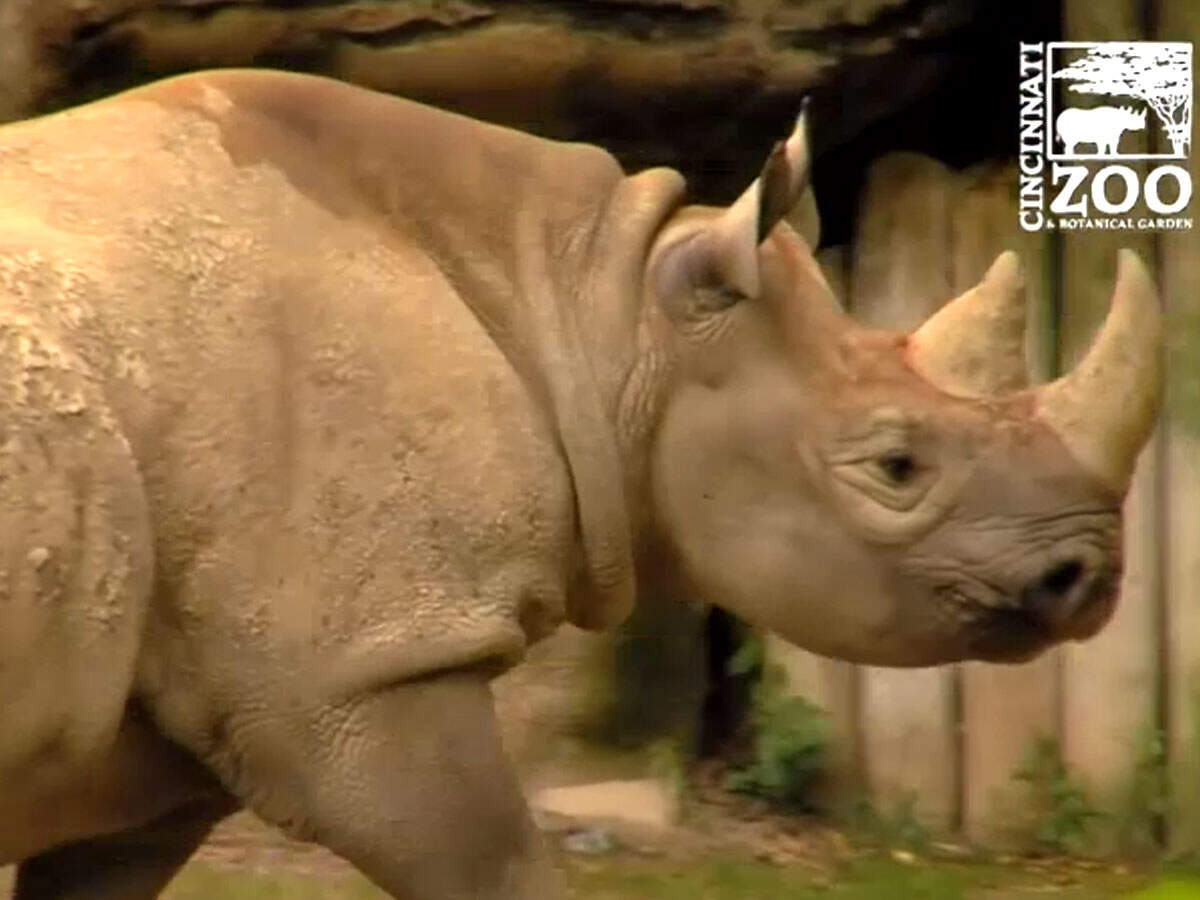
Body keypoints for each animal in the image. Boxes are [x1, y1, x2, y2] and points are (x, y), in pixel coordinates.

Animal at [0, 69, 1162, 899]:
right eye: (896, 467)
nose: (1091, 577)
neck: (593, 303)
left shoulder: (168, 756)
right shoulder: (366, 671)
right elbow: (505, 869)